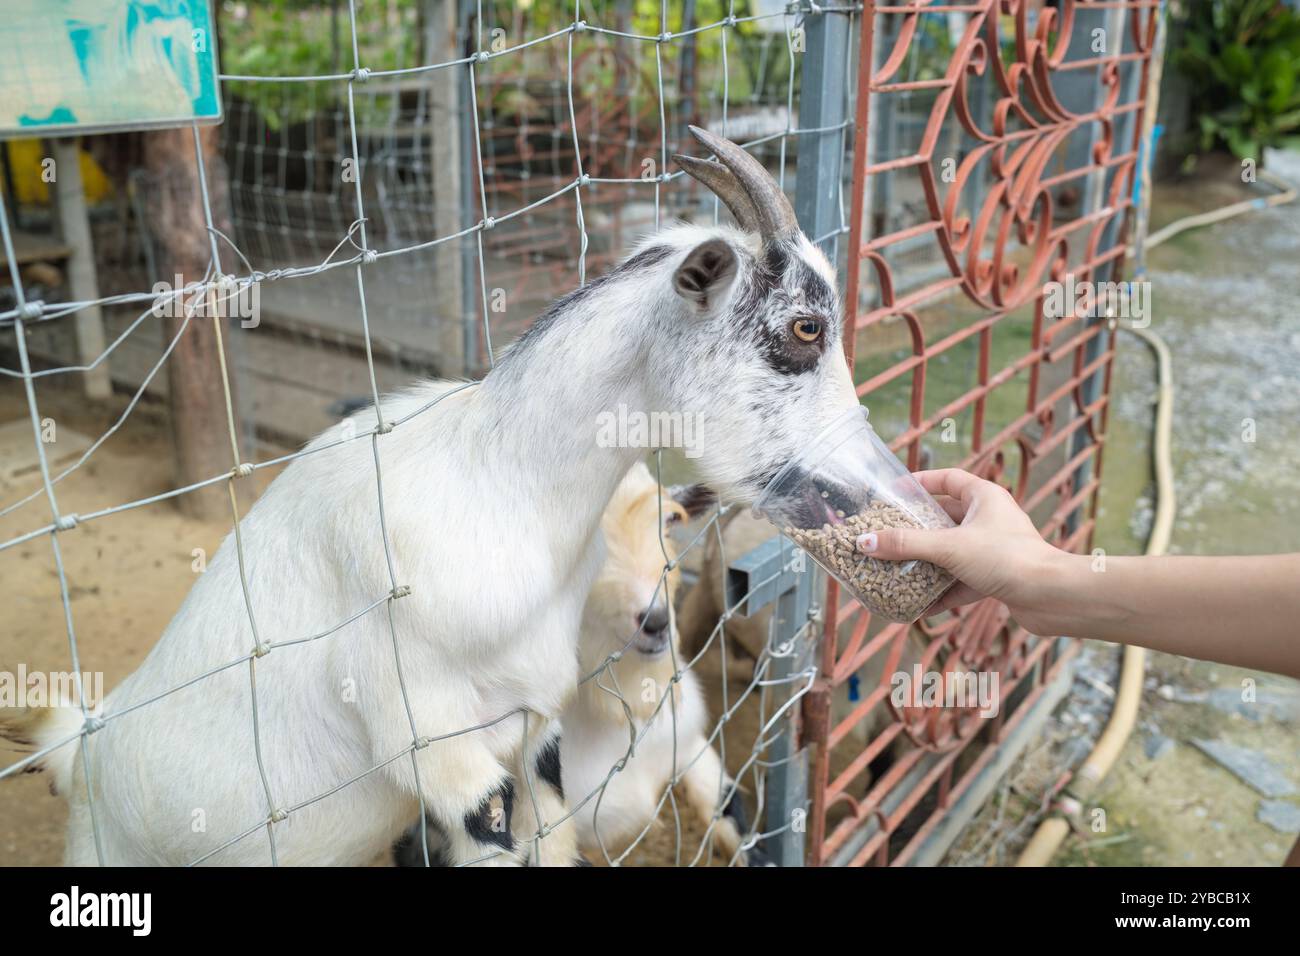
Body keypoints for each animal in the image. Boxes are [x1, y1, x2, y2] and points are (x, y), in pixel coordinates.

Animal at [2, 128, 860, 866]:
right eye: (806, 326)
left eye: (674, 519)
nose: (856, 470)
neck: (494, 483)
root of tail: (79, 750)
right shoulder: (440, 747)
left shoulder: (532, 729)